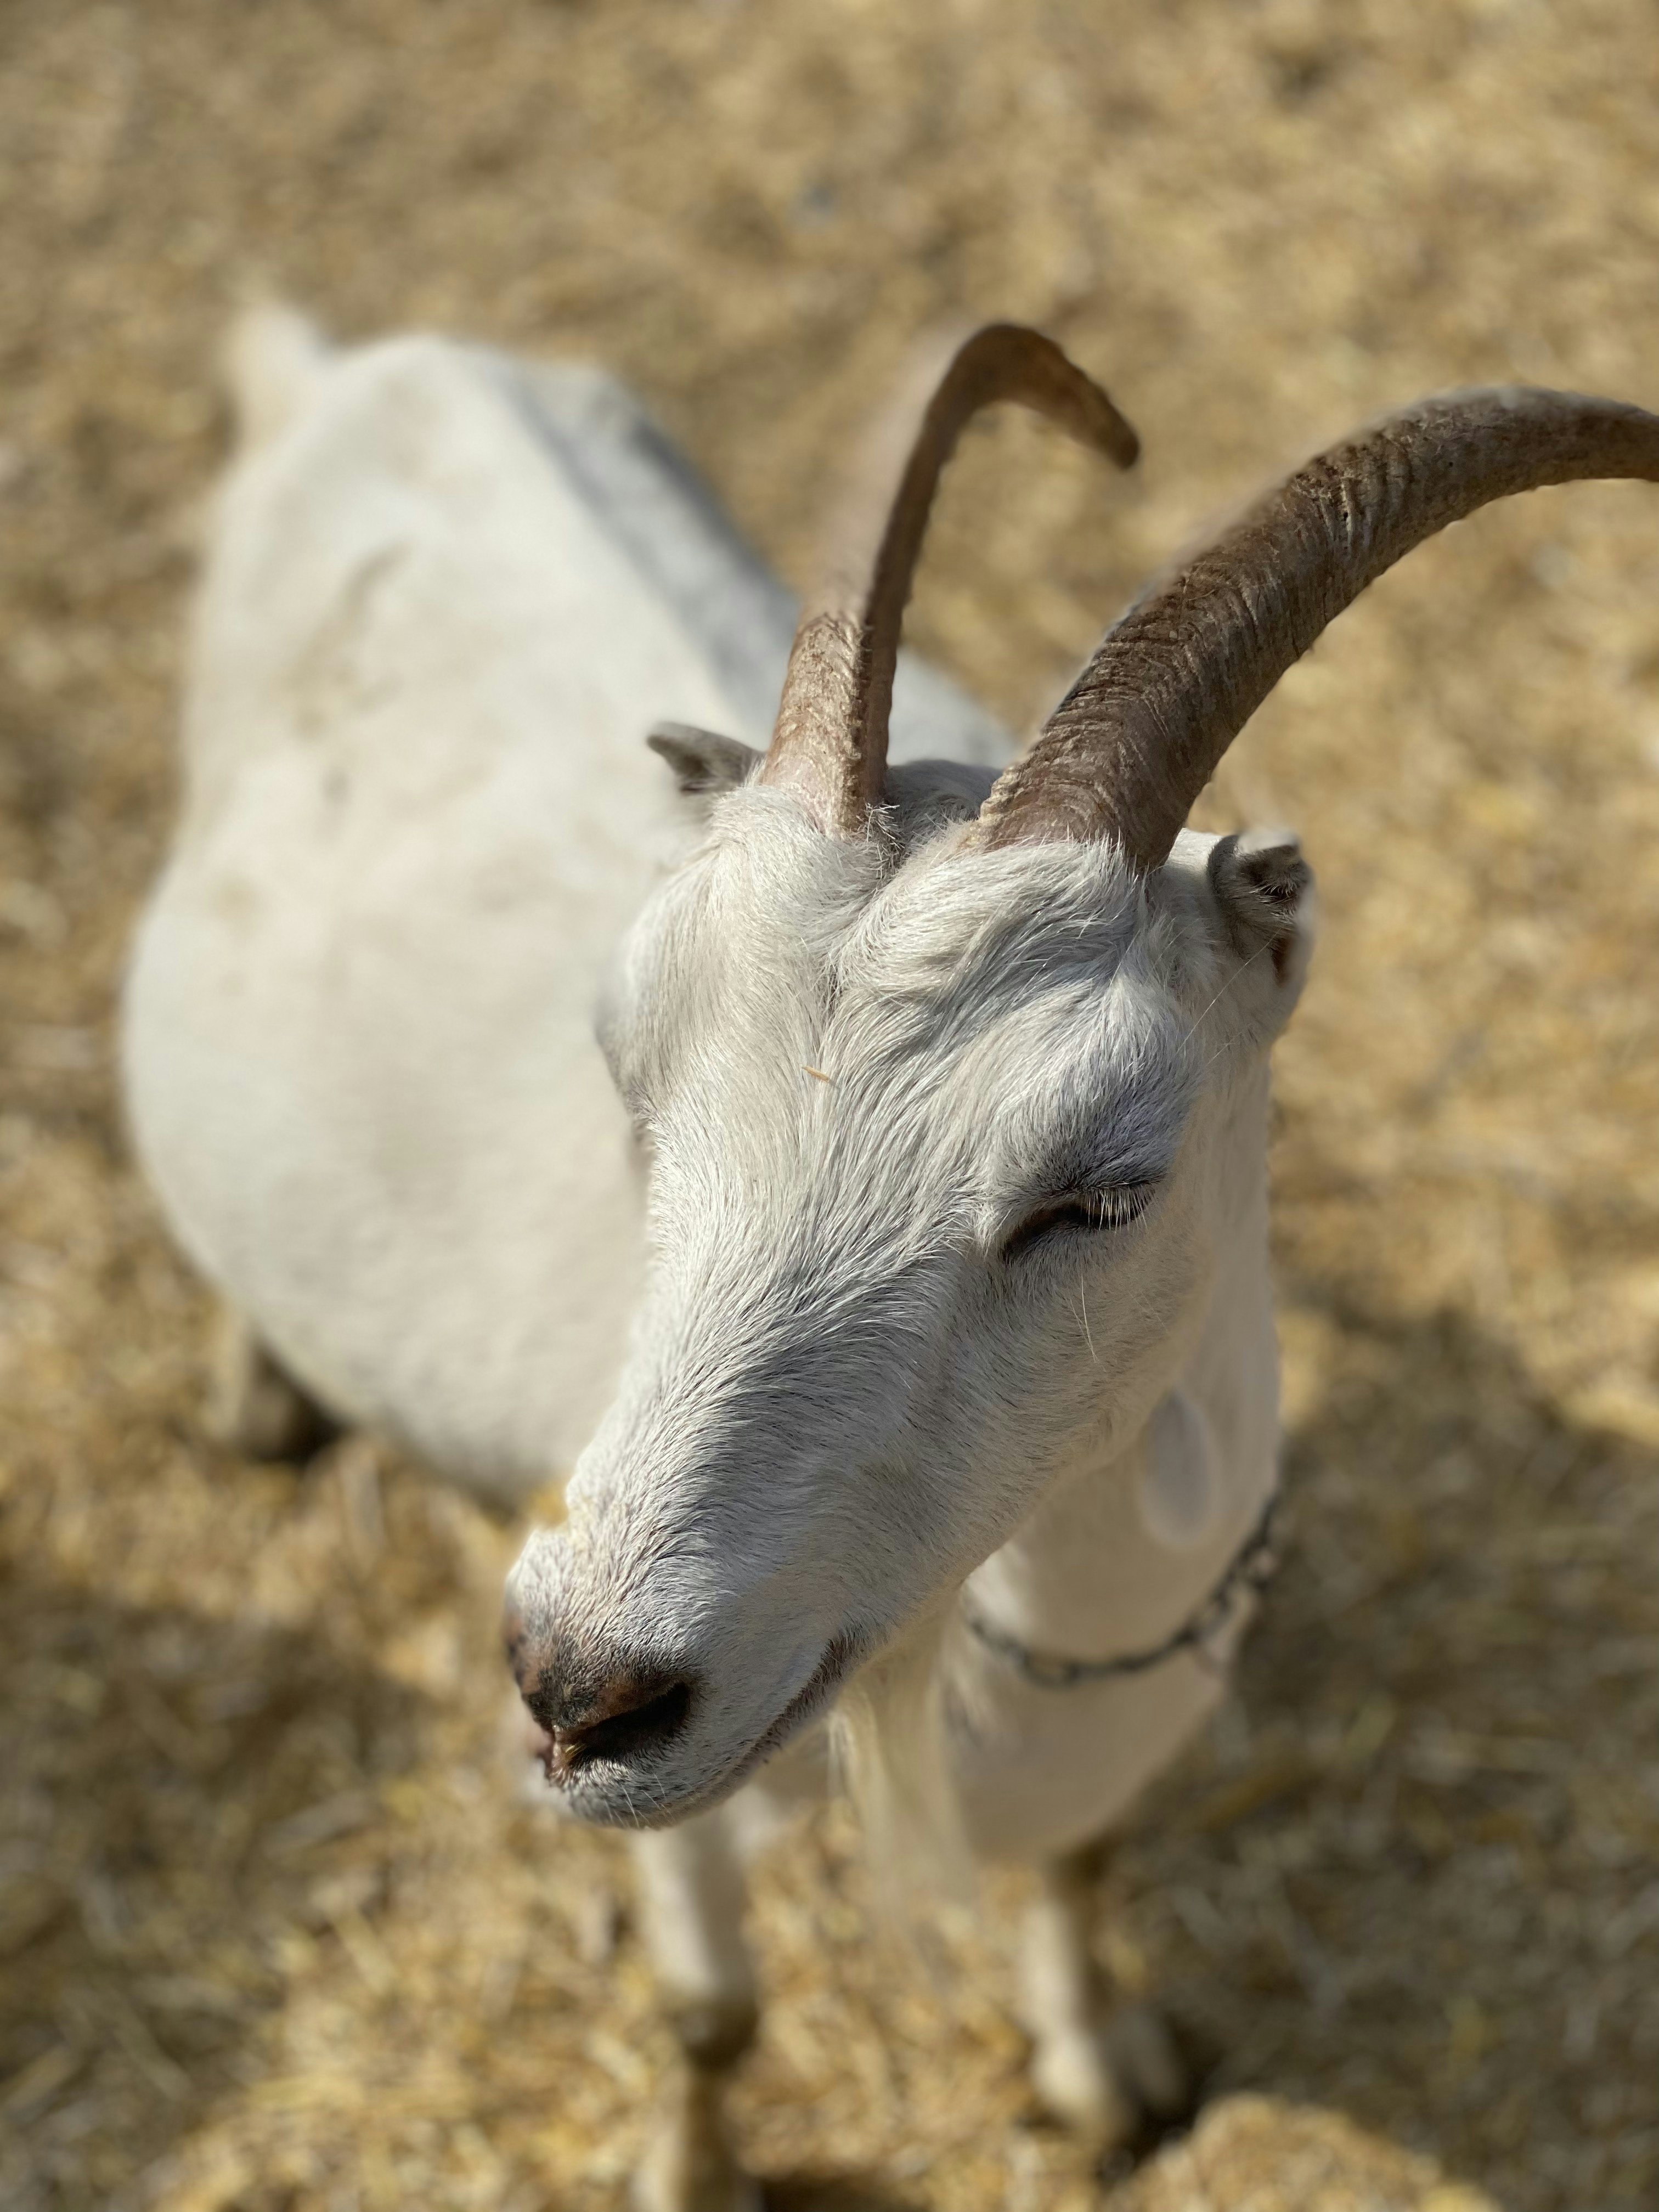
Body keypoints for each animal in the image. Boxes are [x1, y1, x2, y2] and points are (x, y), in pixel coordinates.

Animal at [123, 305, 1659, 2209]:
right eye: (628, 1069)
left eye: (1103, 1189)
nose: (579, 1687)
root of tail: (350, 365)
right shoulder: (683, 1815)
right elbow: (710, 2011)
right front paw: (691, 2178)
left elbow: (1078, 1871)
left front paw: (1104, 2077)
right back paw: (259, 1392)